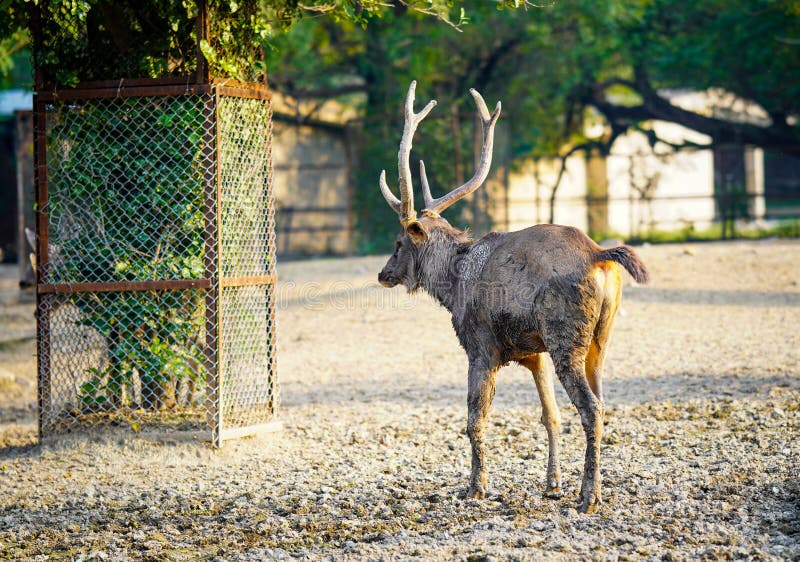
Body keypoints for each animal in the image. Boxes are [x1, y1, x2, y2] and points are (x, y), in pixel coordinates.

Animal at [376, 81, 649, 514]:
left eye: (399, 242)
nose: (383, 273)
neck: (453, 285)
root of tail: (599, 255)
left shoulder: (481, 345)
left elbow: (475, 419)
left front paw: (475, 487)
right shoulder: (532, 352)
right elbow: (549, 415)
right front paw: (552, 483)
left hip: (565, 334)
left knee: (590, 408)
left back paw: (588, 496)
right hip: (600, 338)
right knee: (603, 403)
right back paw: (593, 487)